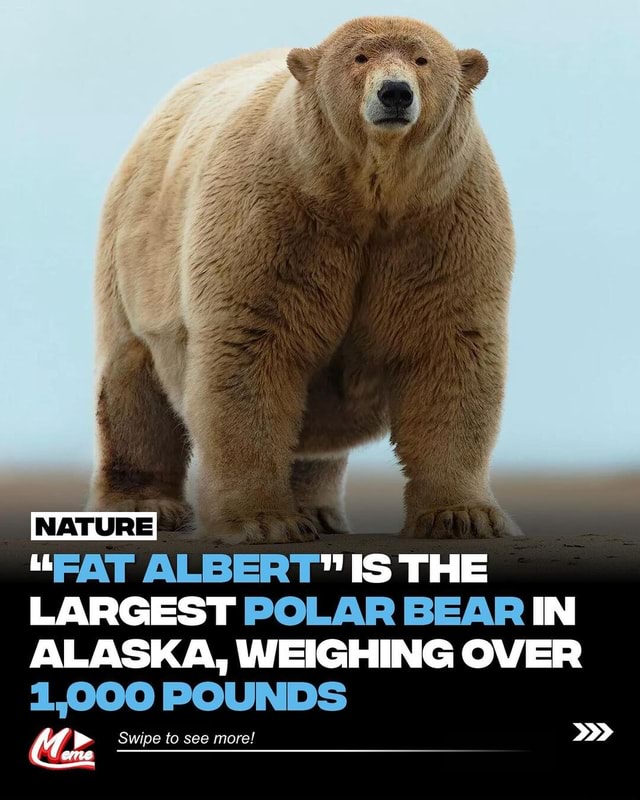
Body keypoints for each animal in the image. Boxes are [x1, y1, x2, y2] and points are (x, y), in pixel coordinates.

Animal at [87, 15, 522, 542]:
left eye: (422, 59)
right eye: (359, 57)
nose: (395, 93)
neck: (366, 197)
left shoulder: (442, 223)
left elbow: (448, 350)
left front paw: (464, 516)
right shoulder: (274, 217)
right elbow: (252, 351)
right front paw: (262, 522)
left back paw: (318, 510)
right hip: (133, 257)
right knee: (132, 381)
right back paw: (143, 503)